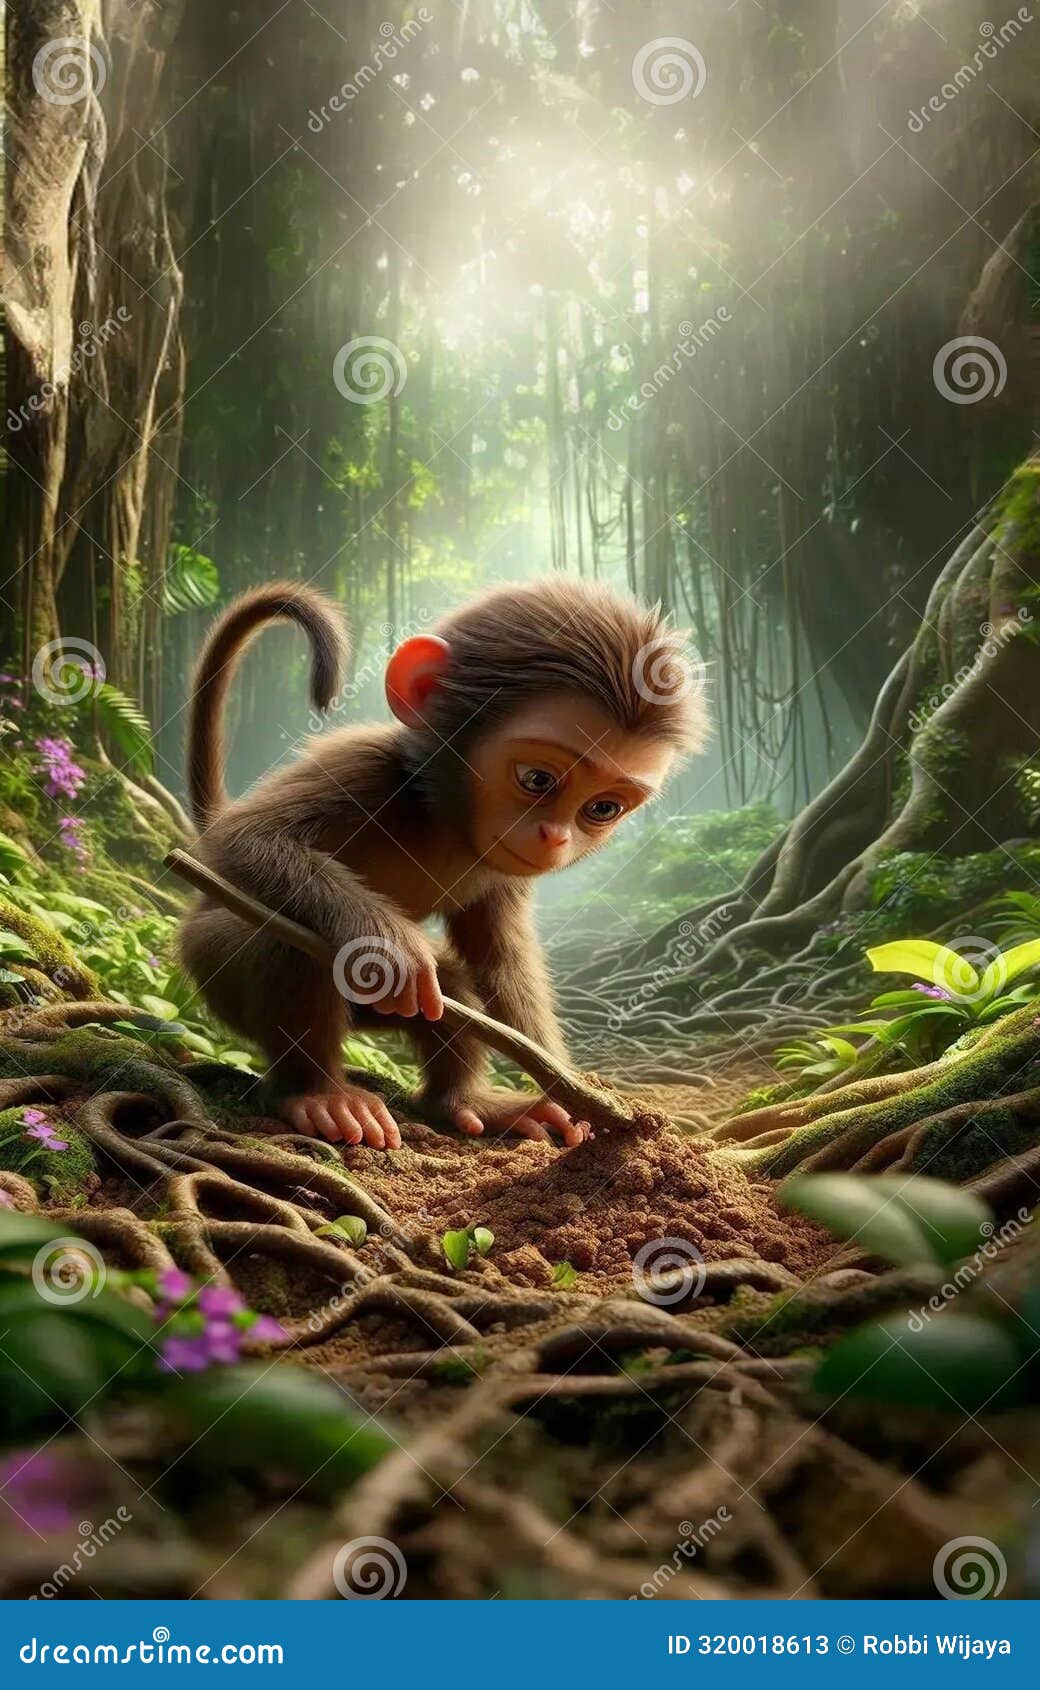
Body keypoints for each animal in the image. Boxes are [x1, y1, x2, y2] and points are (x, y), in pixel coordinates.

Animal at [178, 577, 707, 1151]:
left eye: (602, 808)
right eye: (537, 779)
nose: (555, 838)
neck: (444, 819)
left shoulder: (503, 871)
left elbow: (499, 961)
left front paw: (565, 1090)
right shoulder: (362, 763)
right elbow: (248, 838)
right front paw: (391, 946)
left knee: (450, 985)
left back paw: (462, 1102)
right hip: (209, 960)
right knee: (285, 938)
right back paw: (320, 1095)